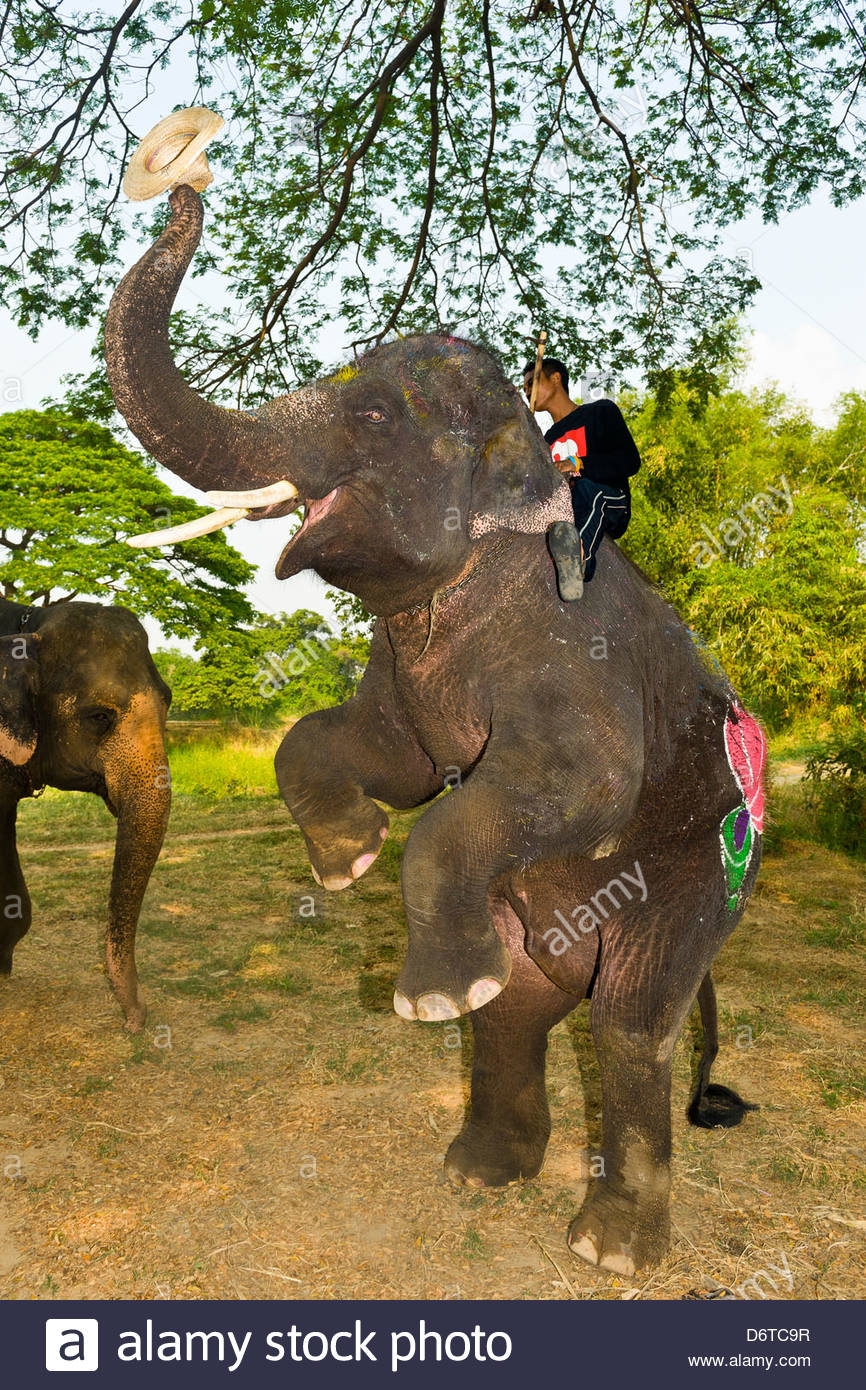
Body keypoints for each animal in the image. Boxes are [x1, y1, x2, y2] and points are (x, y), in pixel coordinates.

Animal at [103, 184, 765, 1274]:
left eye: (371, 413)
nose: (180, 181)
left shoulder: (571, 648)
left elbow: (578, 786)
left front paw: (417, 994)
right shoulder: (403, 662)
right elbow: (387, 759)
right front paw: (347, 860)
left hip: (700, 872)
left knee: (629, 1025)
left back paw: (608, 1249)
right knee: (519, 1008)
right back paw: (479, 1164)